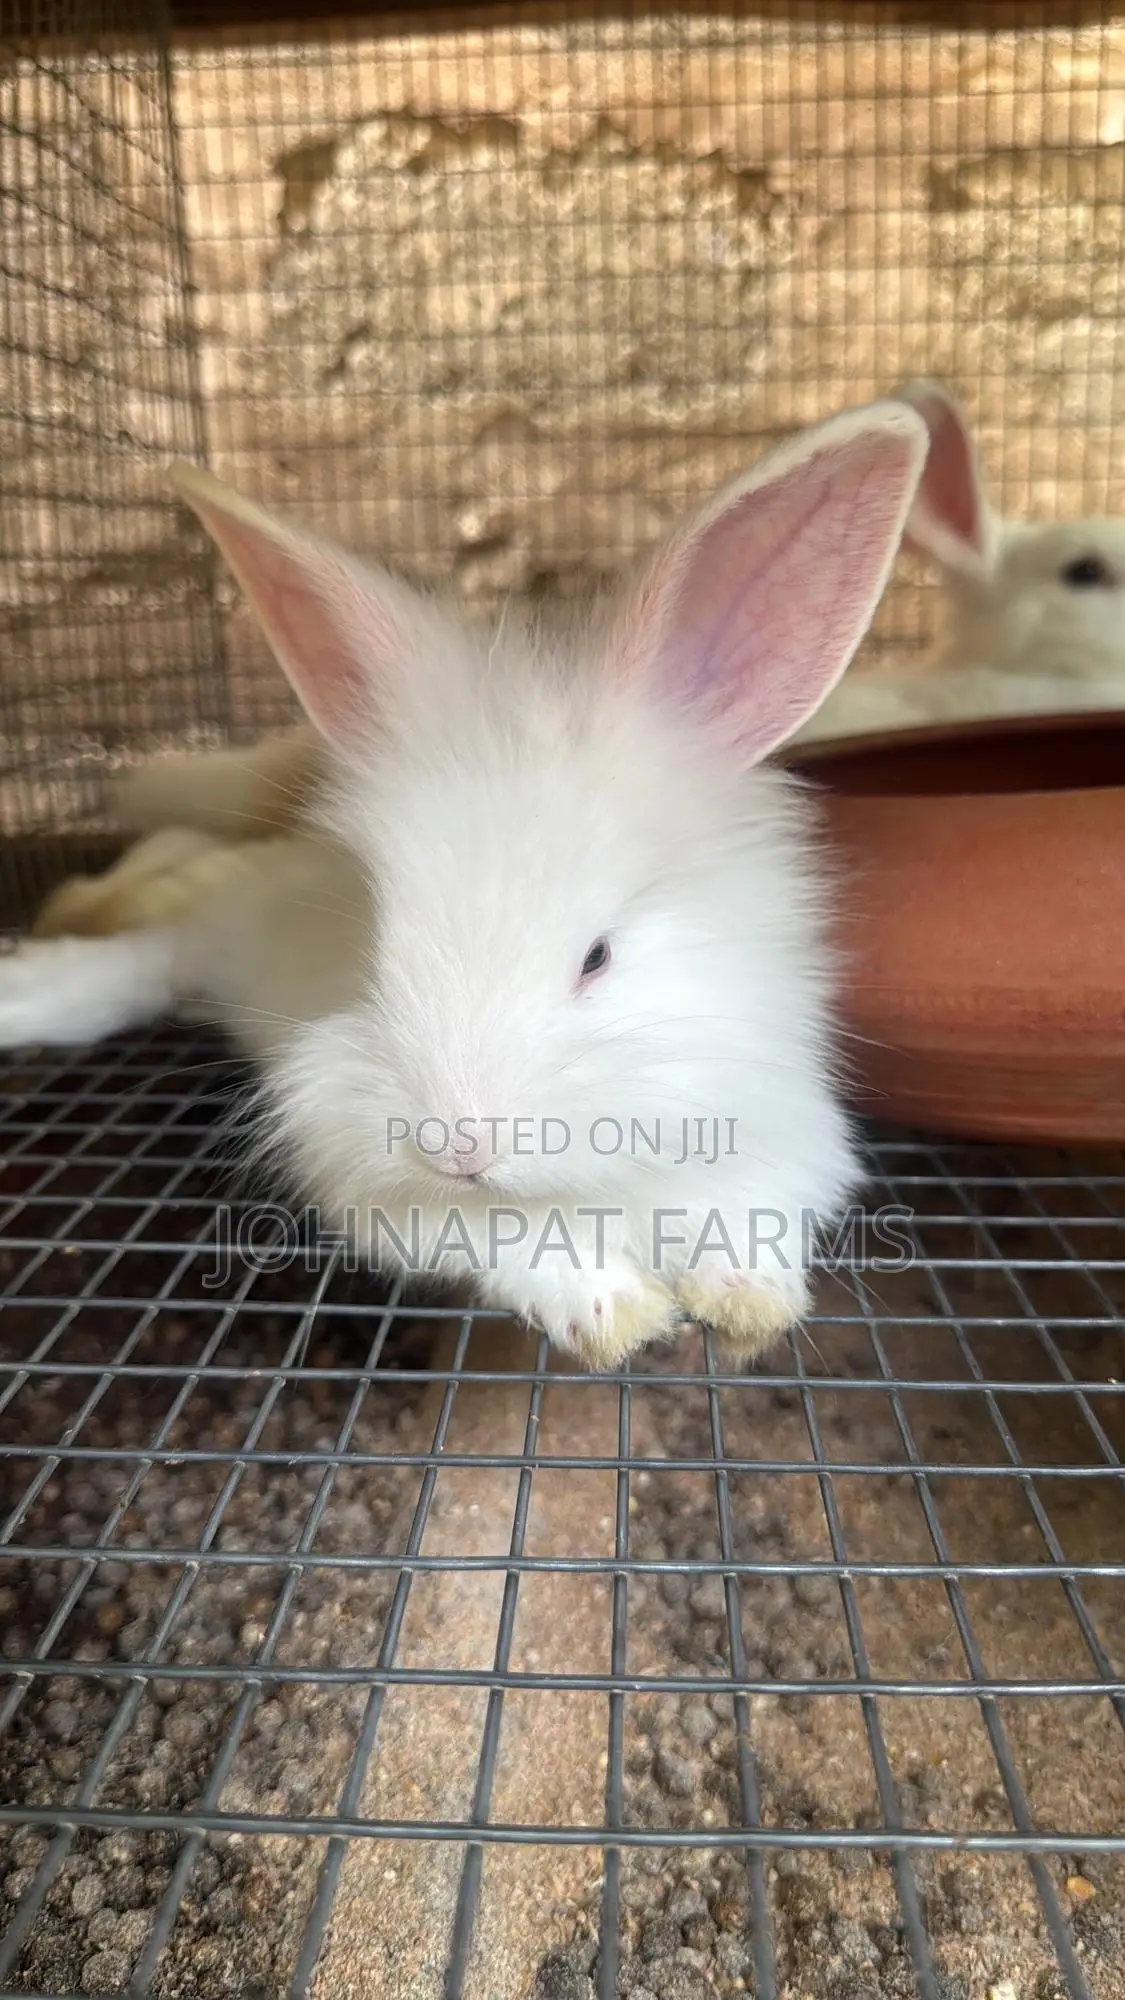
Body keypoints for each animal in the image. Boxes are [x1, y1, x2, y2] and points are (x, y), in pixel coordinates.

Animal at [0, 397, 929, 1369]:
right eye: (377, 940)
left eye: (597, 957)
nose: (457, 1148)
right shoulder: (386, 1182)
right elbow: (521, 1243)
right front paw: (613, 1314)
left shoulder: (780, 1129)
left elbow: (750, 1220)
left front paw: (747, 1302)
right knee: (152, 950)